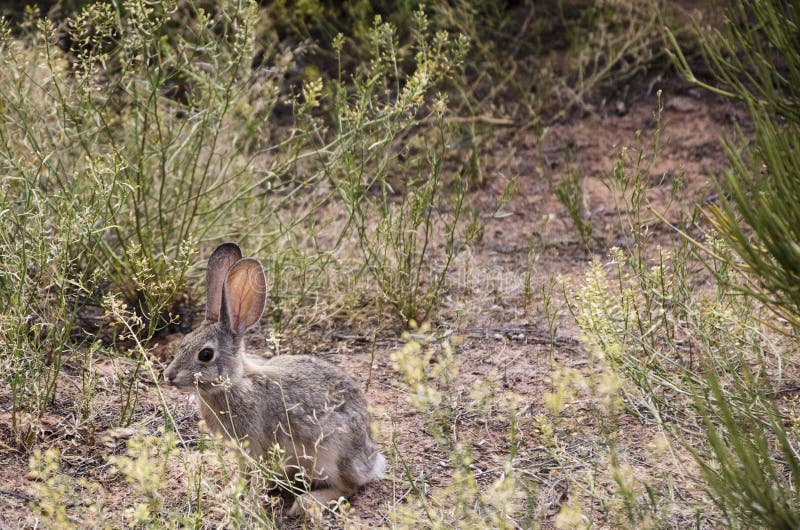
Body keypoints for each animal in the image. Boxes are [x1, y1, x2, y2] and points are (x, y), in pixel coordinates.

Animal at [164, 243, 385, 516]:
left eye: (205, 354)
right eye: (183, 342)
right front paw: (228, 493)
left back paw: (307, 503)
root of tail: (371, 461)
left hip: (331, 455)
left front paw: (246, 501)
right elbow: (242, 475)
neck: (234, 383)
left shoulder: (260, 449)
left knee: (348, 487)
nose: (168, 376)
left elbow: (257, 478)